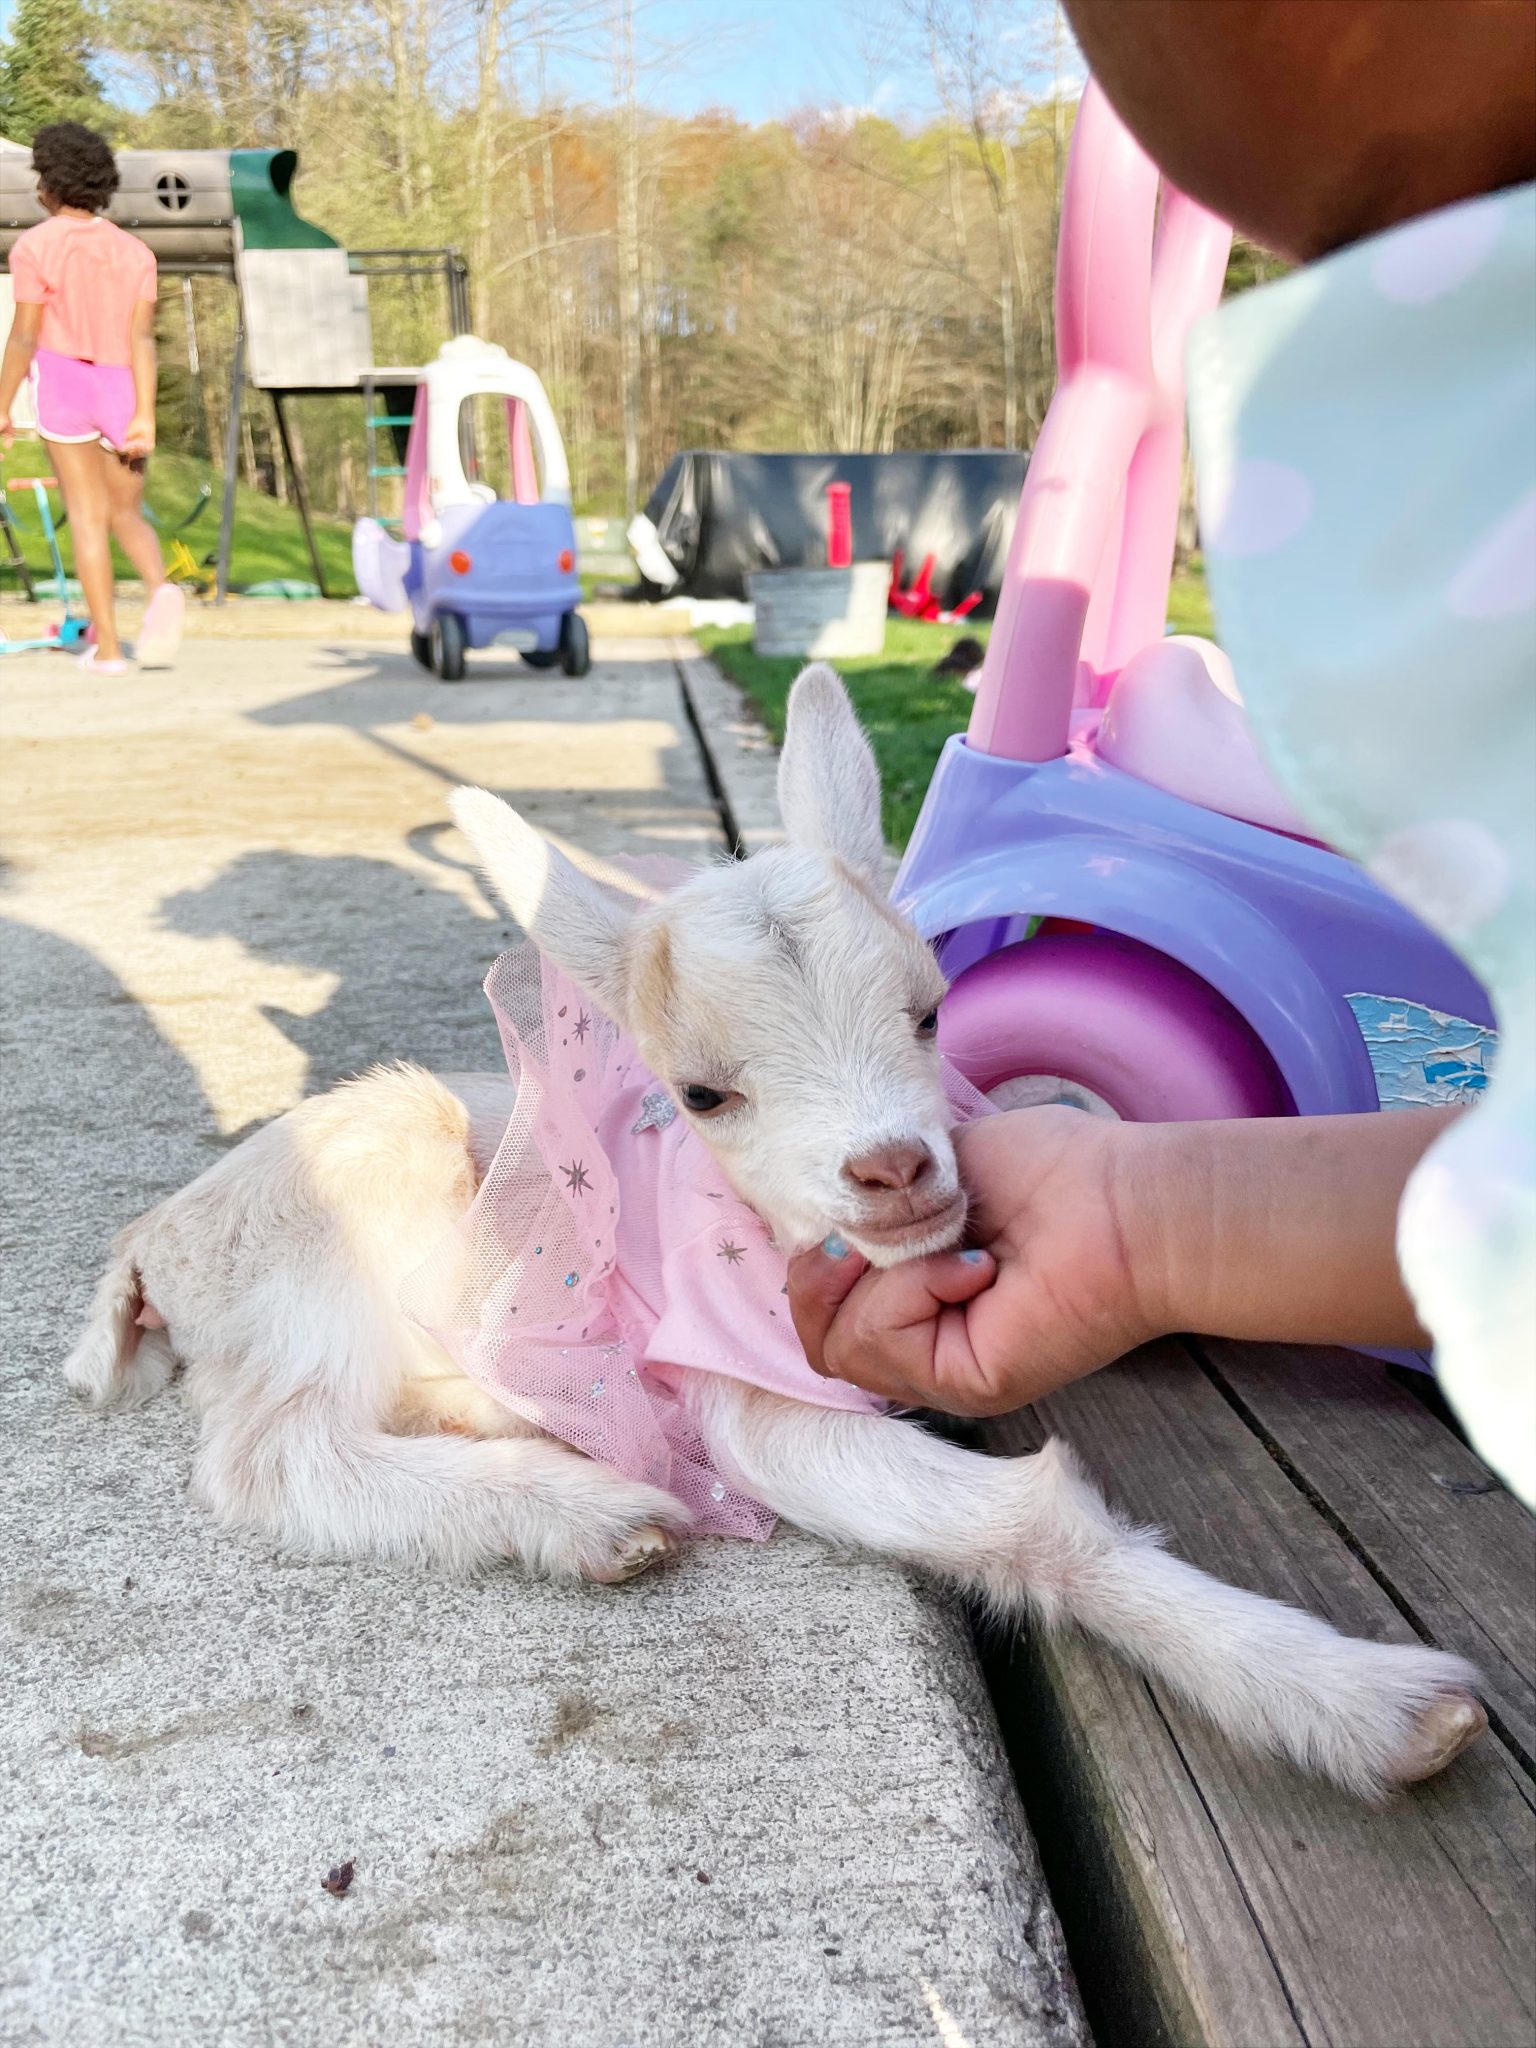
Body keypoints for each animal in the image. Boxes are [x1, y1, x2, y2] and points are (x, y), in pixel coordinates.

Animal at [64, 665, 1484, 1798]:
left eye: (929, 1010)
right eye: (700, 1094)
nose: (895, 1168)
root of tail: (153, 1235)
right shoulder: (747, 1384)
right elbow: (1019, 1518)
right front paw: (1367, 1700)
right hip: (326, 1246)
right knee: (274, 1458)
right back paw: (590, 1513)